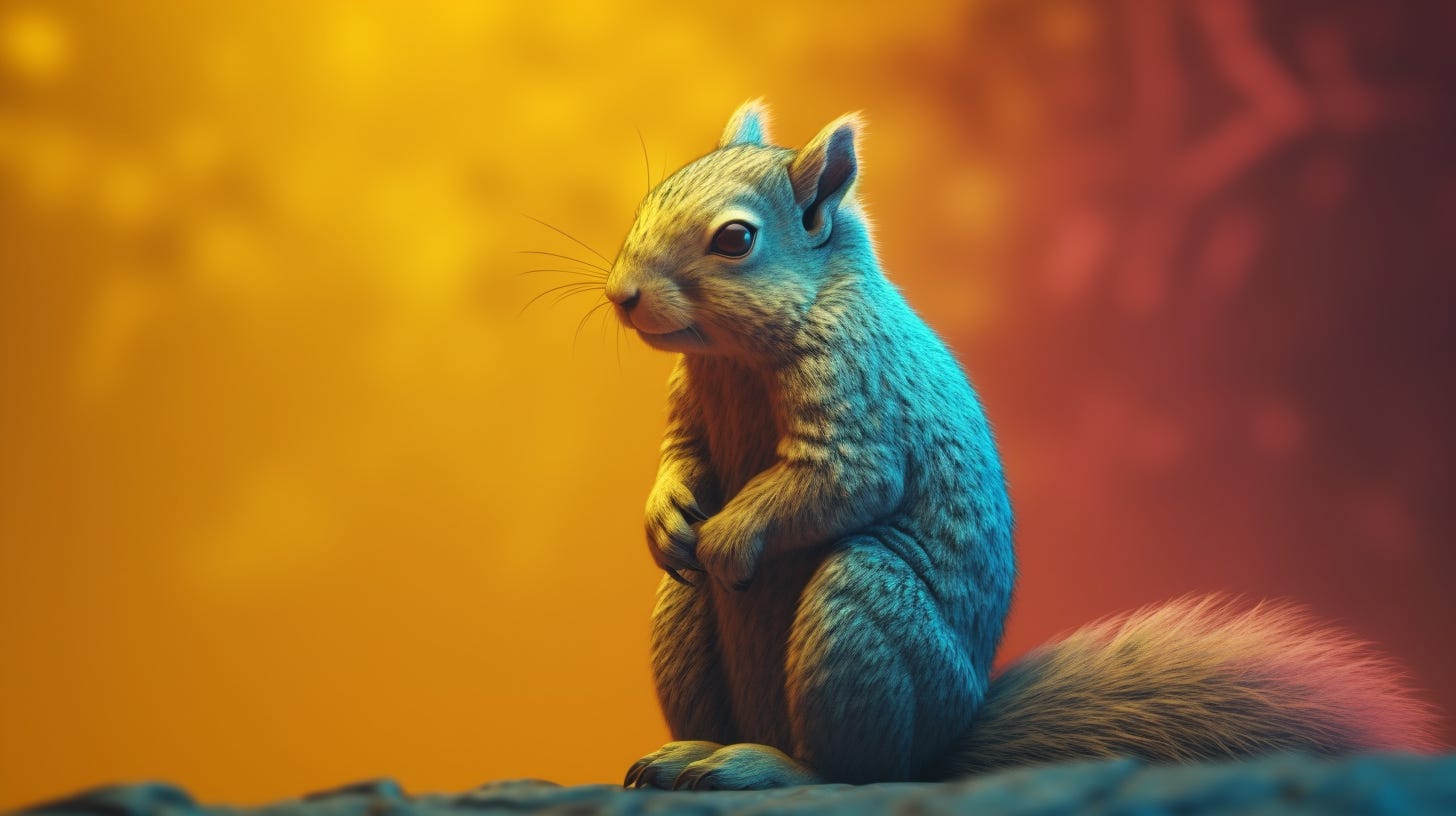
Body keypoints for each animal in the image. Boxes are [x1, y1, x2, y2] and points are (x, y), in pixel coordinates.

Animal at [602, 99, 1438, 790]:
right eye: (649, 199)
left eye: (736, 239)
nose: (621, 296)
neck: (733, 359)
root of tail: (944, 745)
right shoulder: (691, 406)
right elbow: (682, 456)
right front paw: (665, 513)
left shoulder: (859, 391)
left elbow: (843, 479)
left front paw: (728, 537)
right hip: (684, 618)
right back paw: (689, 754)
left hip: (865, 607)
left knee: (859, 769)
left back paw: (763, 766)